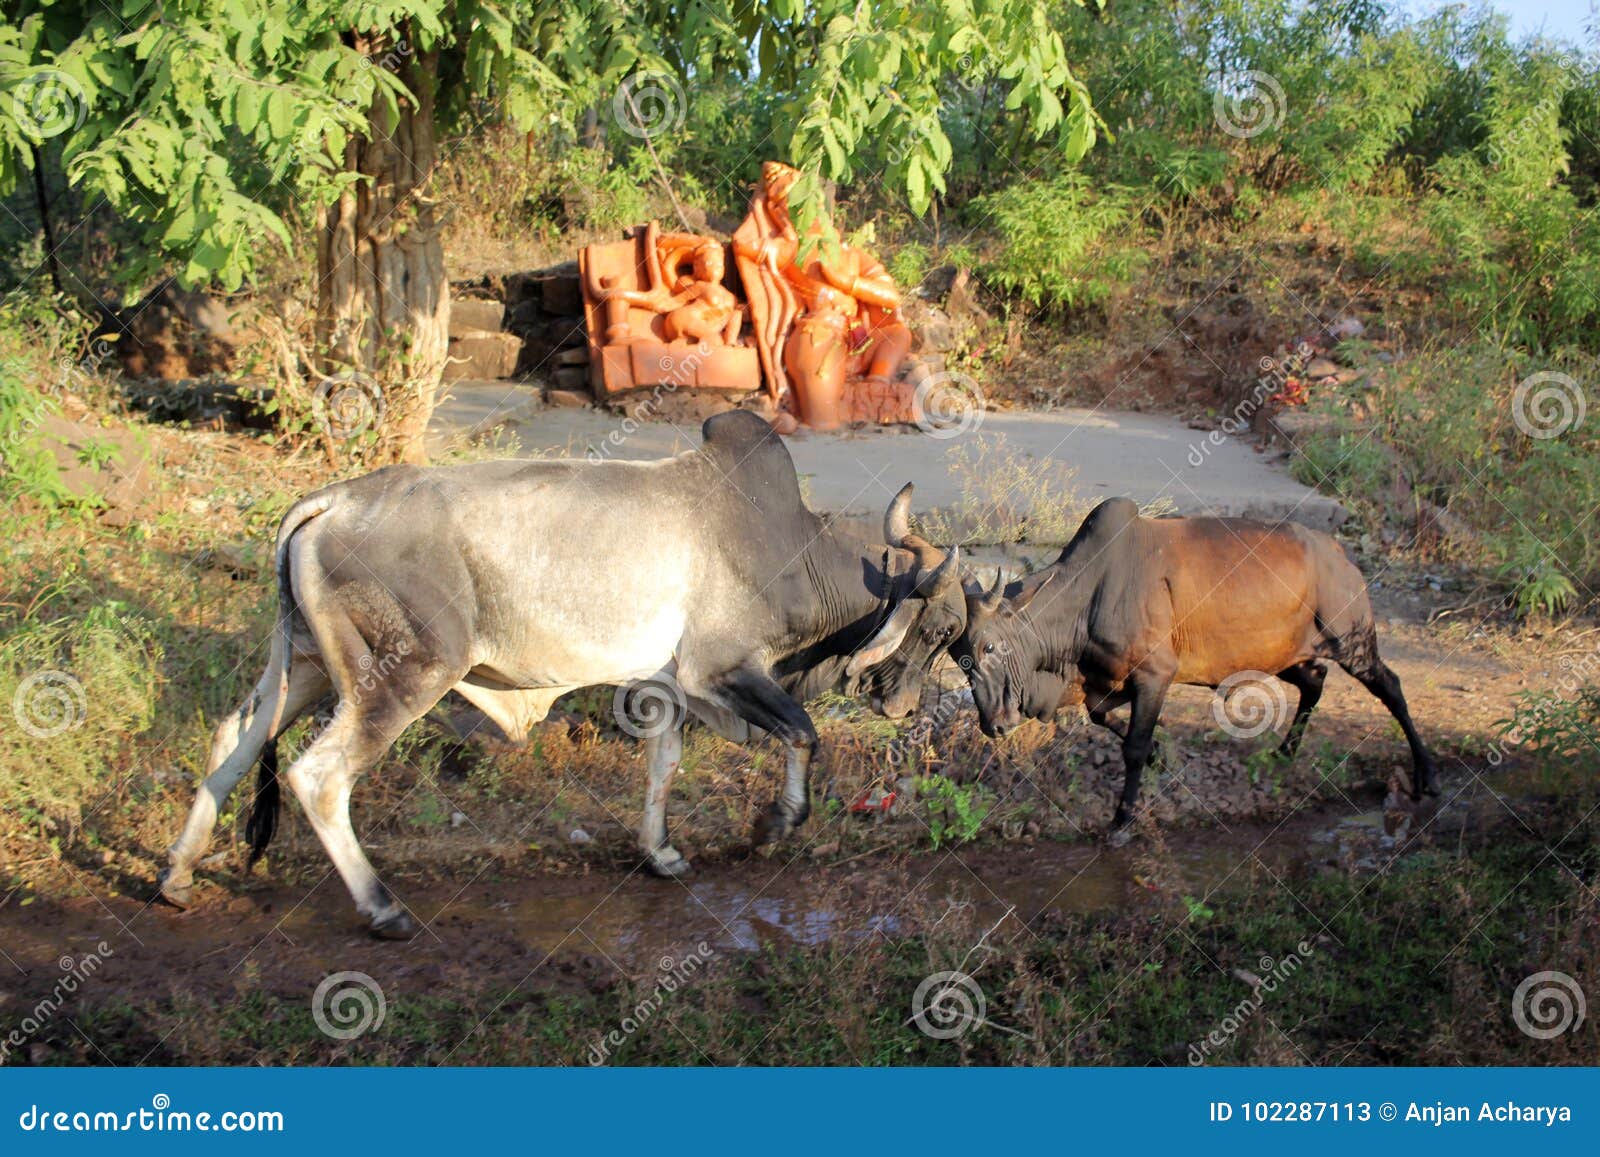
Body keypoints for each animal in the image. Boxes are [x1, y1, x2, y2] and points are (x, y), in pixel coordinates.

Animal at [158, 411, 964, 938]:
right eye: (944, 627)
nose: (906, 708)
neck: (791, 547)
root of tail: (328, 501)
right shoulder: (721, 669)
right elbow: (801, 732)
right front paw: (772, 825)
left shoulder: (667, 687)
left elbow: (664, 765)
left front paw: (662, 853)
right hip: (406, 673)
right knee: (319, 777)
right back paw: (382, 908)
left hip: (305, 666)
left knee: (232, 741)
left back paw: (177, 876)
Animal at [951, 497, 1437, 837]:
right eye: (959, 659)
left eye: (991, 645)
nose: (994, 724)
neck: (1088, 595)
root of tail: (1339, 553)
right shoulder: (1105, 684)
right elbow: (1105, 718)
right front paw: (1159, 756)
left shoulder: (1155, 674)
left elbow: (1132, 746)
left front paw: (1122, 820)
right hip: (1282, 654)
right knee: (1315, 680)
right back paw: (1286, 751)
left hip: (1353, 641)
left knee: (1391, 687)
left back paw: (1426, 776)